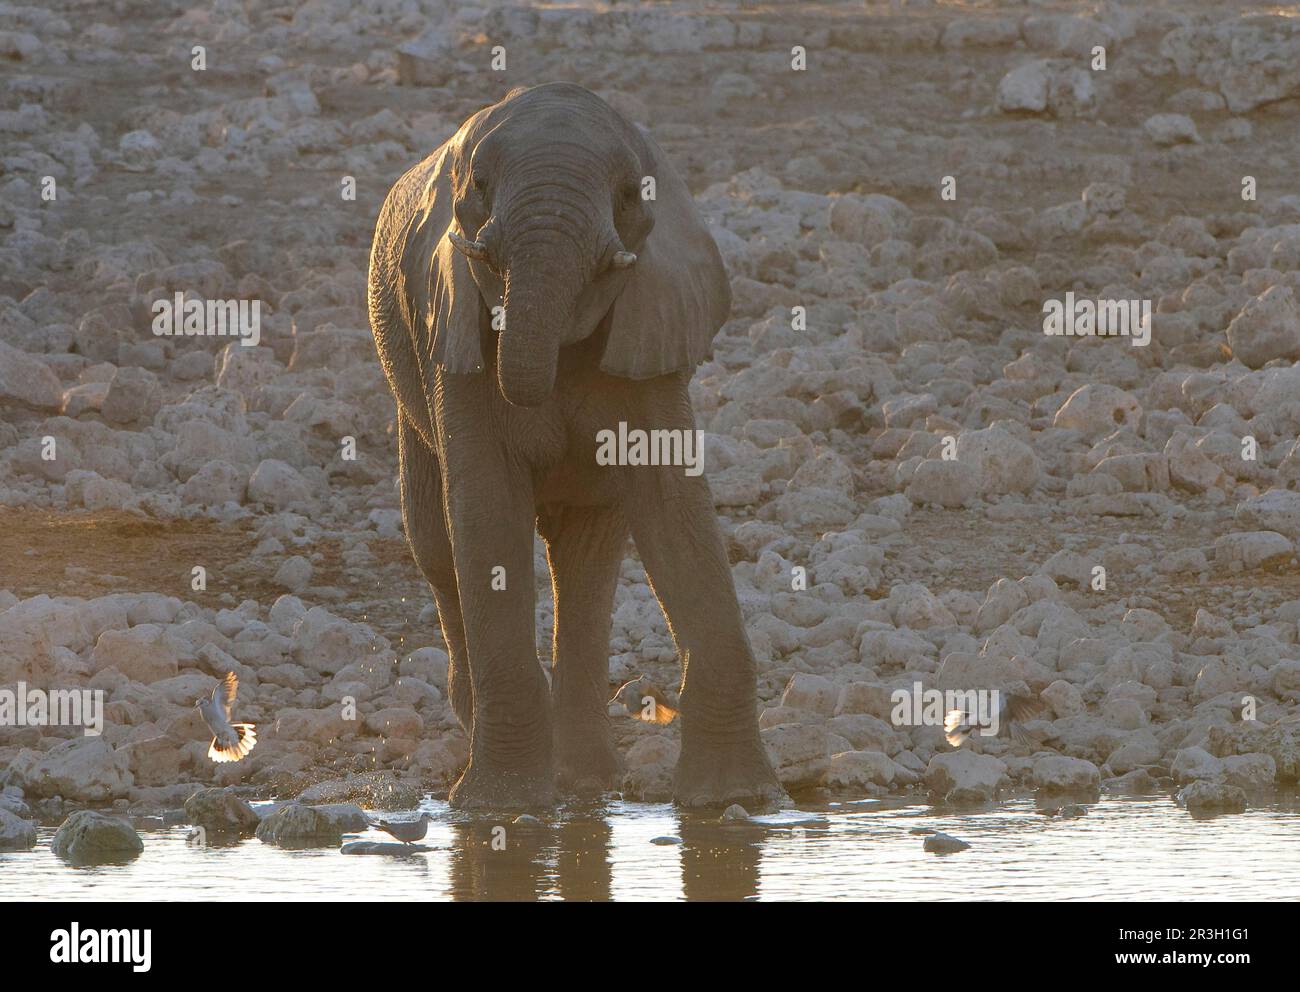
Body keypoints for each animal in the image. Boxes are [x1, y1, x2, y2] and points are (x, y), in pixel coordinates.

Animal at [367, 82, 781, 810]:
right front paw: (501, 807)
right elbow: (486, 509)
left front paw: (735, 801)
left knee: (587, 563)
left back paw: (586, 782)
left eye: (628, 194)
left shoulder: (652, 328)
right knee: (437, 548)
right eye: (478, 187)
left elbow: (674, 506)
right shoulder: (454, 332)